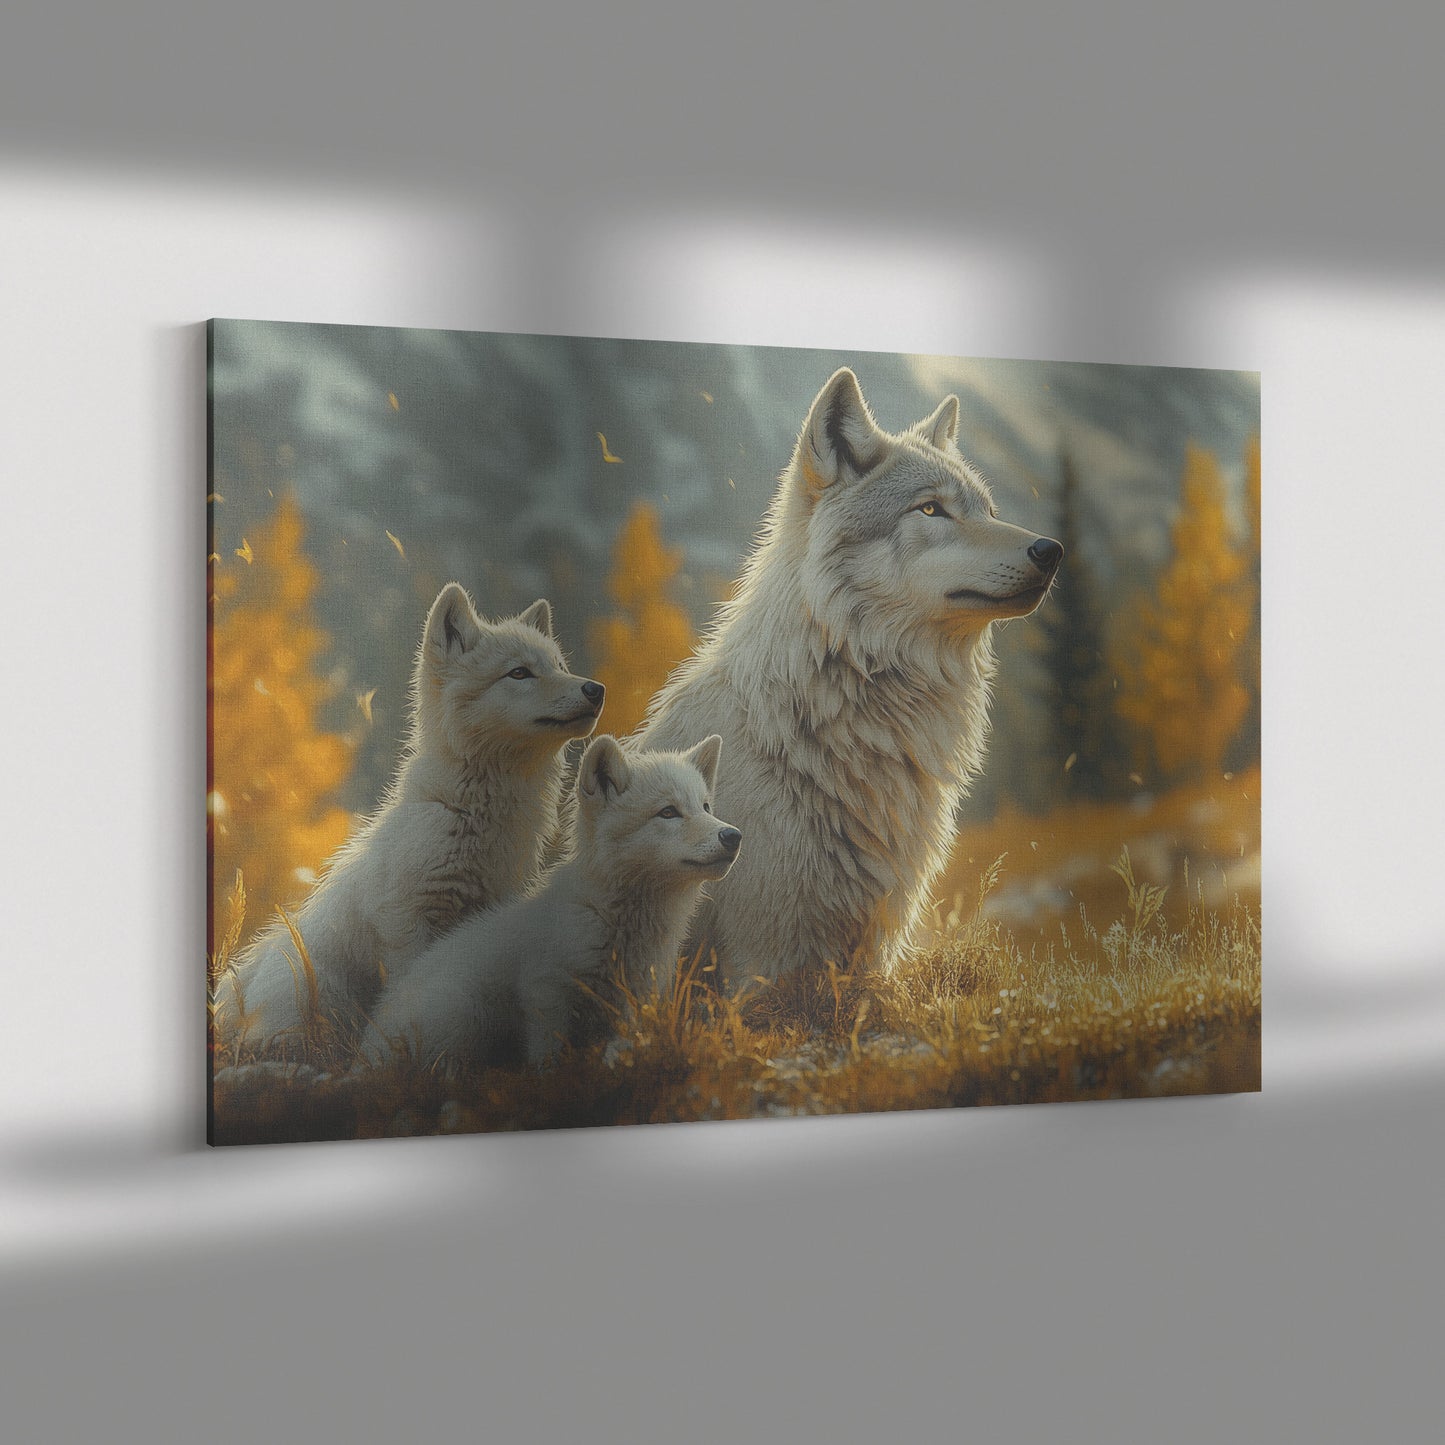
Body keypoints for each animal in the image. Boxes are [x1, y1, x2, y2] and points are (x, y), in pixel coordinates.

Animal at [213, 583, 605, 1055]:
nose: (596, 689)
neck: (470, 817)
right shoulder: (406, 921)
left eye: (559, 667)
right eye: (518, 673)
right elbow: (407, 989)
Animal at [357, 734, 741, 1069]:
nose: (733, 835)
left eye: (706, 807)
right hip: (462, 1008)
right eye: (667, 812)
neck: (616, 923)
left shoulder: (629, 1004)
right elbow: (549, 1062)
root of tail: (368, 1049)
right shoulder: (546, 994)